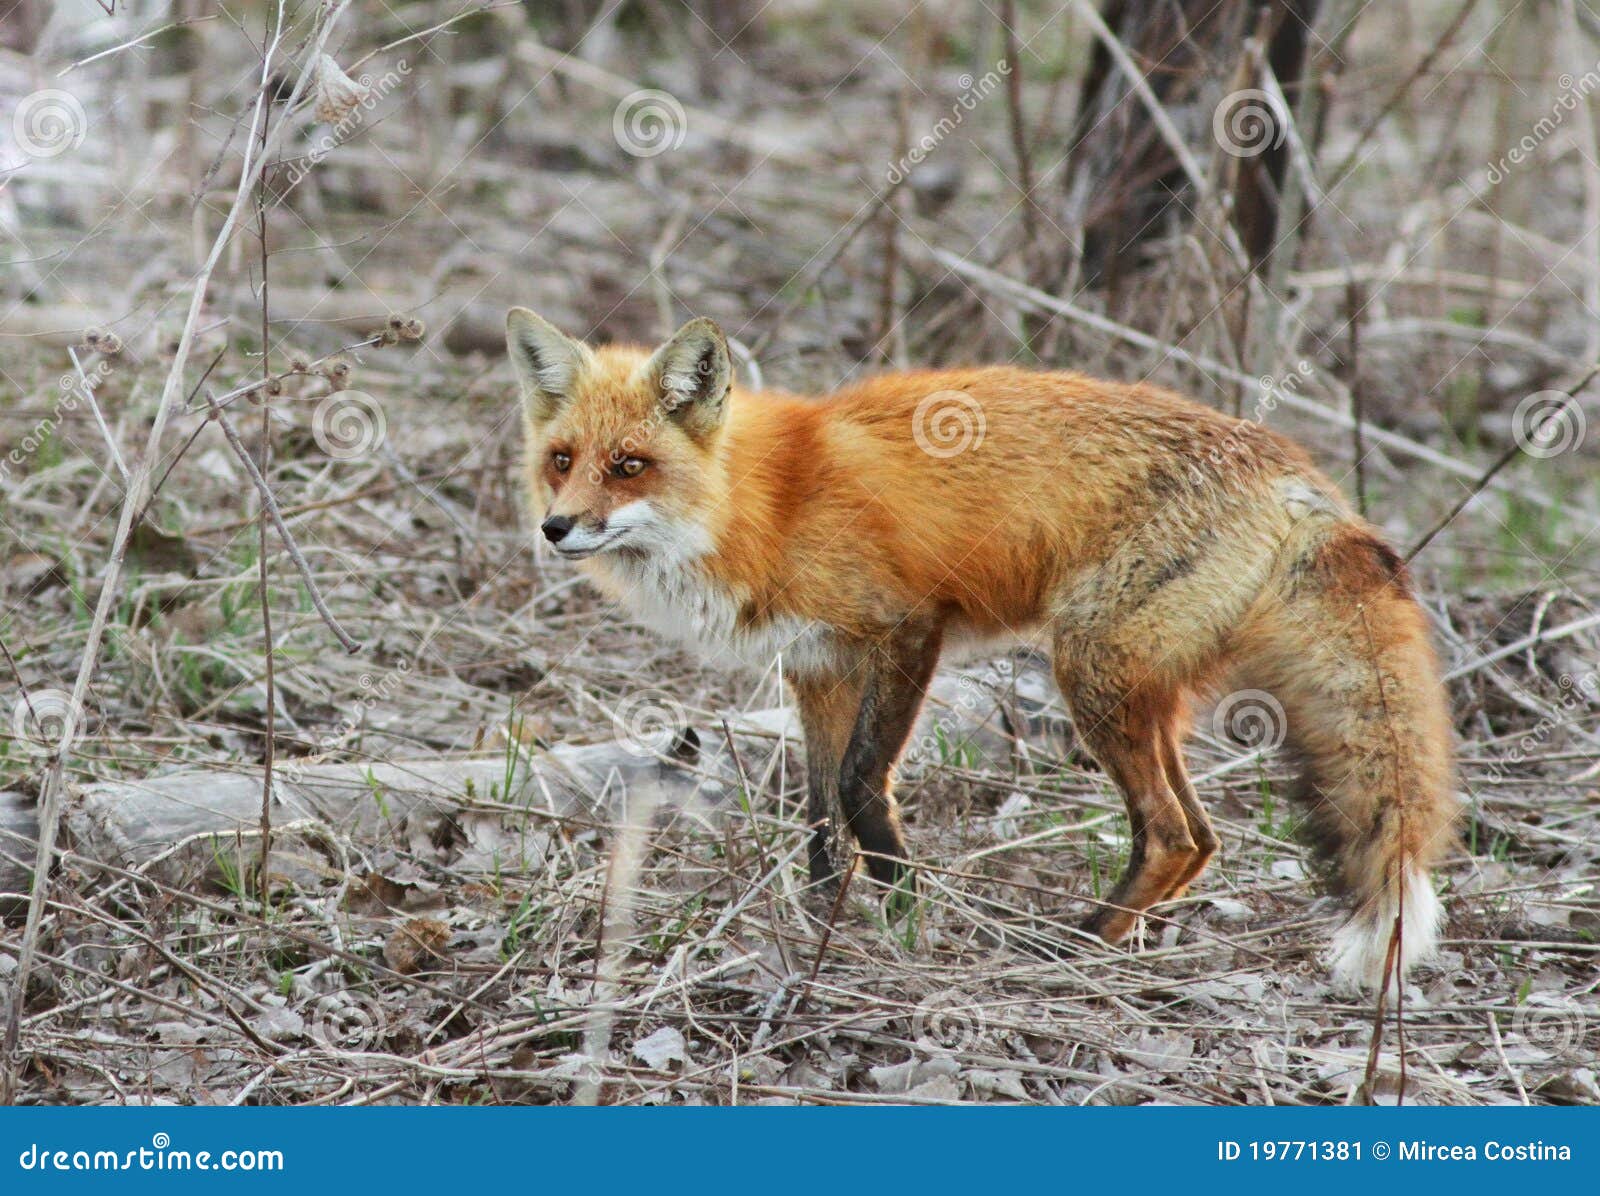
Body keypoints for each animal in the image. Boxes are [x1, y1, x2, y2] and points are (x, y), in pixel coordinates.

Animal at [506, 307, 1458, 990]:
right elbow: (816, 817)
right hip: (1140, 691)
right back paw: (1131, 938)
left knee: (1170, 834)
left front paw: (904, 915)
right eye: (563, 460)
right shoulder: (818, 667)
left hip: (1089, 674)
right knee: (1201, 835)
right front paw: (820, 928)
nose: (556, 529)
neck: (764, 503)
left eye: (630, 466)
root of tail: (1294, 472)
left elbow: (859, 786)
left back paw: (1072, 948)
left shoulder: (905, 628)